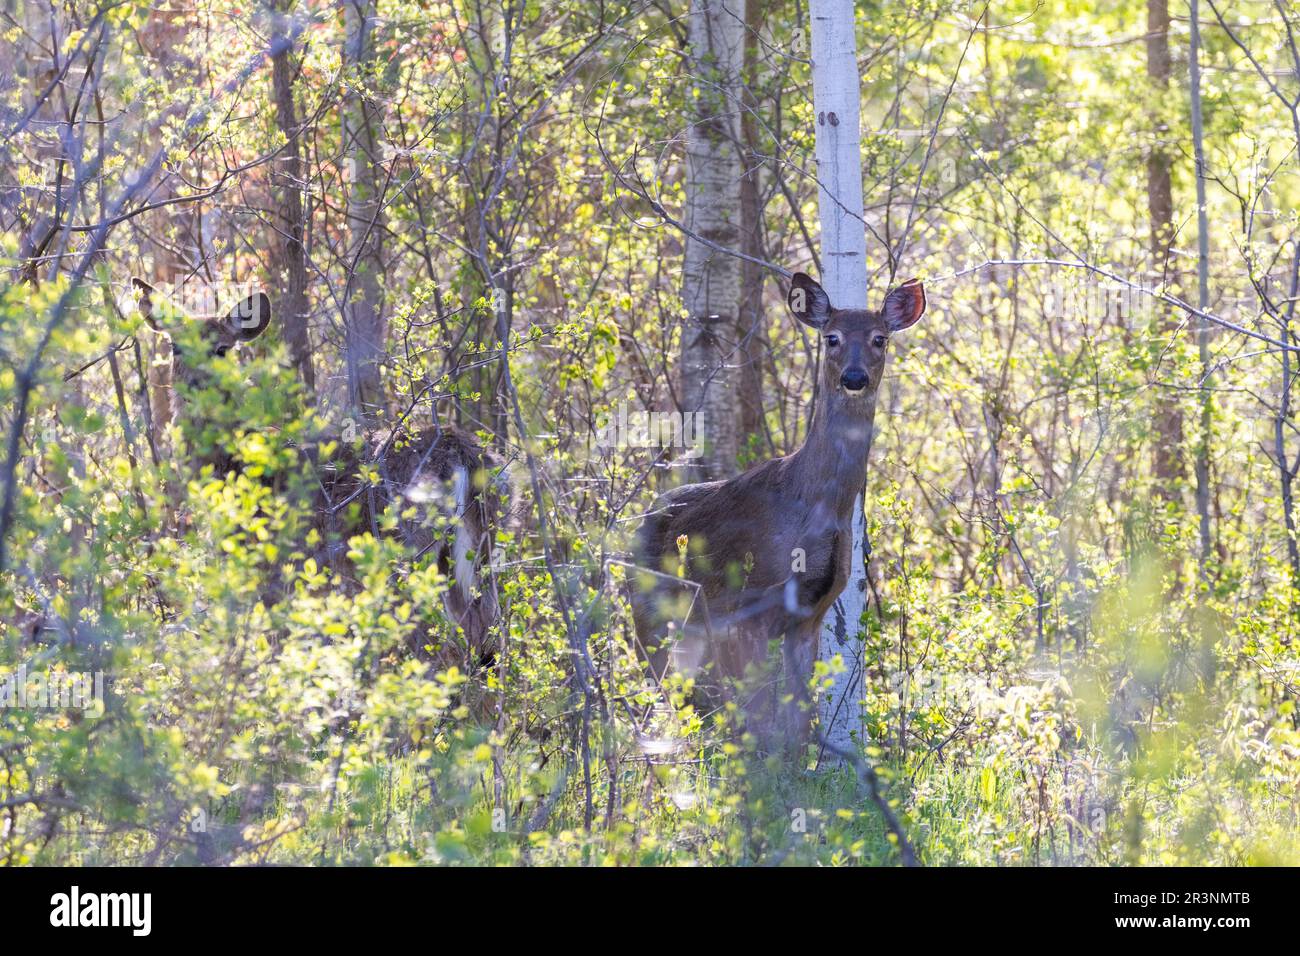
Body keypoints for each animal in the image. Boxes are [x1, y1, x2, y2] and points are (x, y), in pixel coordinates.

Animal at [130, 277, 505, 663]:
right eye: (176, 347)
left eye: (222, 349)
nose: (195, 387)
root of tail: (461, 453)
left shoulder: (267, 562)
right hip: (480, 544)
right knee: (485, 633)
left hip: (407, 548)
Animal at [630, 271, 926, 754]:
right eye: (831, 338)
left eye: (880, 338)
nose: (855, 377)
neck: (815, 507)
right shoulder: (749, 604)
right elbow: (761, 719)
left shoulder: (811, 613)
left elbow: (797, 719)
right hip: (648, 609)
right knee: (659, 691)